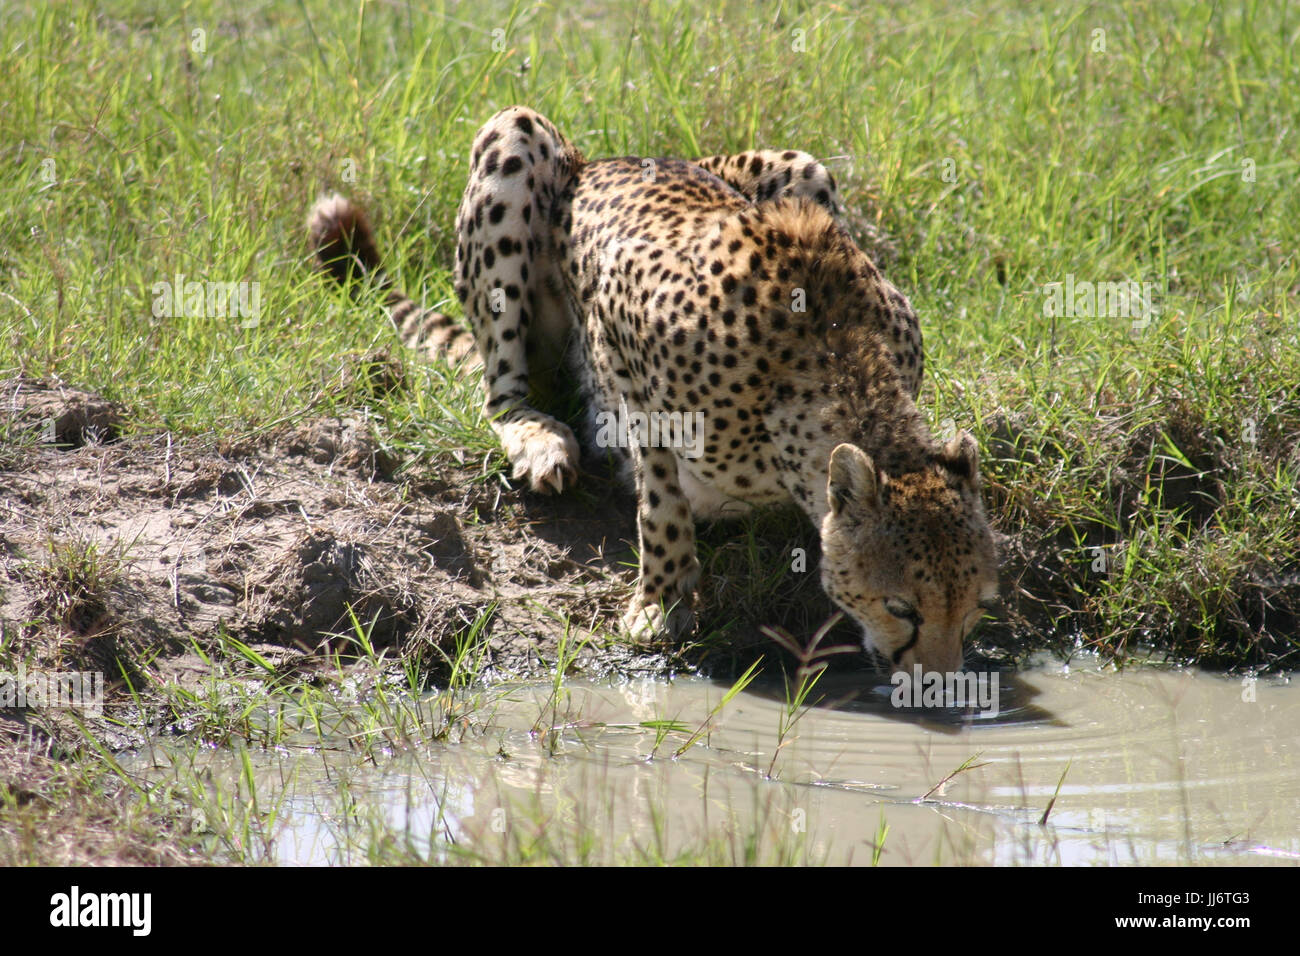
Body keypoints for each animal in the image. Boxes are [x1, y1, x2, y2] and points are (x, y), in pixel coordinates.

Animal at [308, 105, 999, 675]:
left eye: (975, 607)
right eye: (902, 607)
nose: (939, 682)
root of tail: (603, 157)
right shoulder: (615, 315)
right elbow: (660, 497)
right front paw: (661, 600)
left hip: (805, 168)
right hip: (517, 136)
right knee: (500, 392)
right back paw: (540, 440)